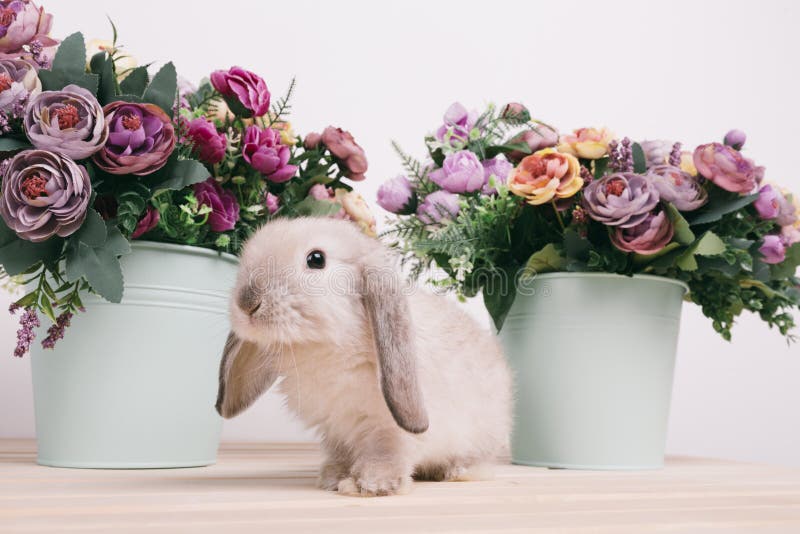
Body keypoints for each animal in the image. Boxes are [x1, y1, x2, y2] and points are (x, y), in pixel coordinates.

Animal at [216, 217, 512, 497]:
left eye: (316, 259)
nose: (247, 302)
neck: (324, 345)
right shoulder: (336, 428)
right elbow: (342, 453)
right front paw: (333, 477)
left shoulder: (389, 427)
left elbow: (388, 452)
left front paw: (373, 485)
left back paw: (457, 471)